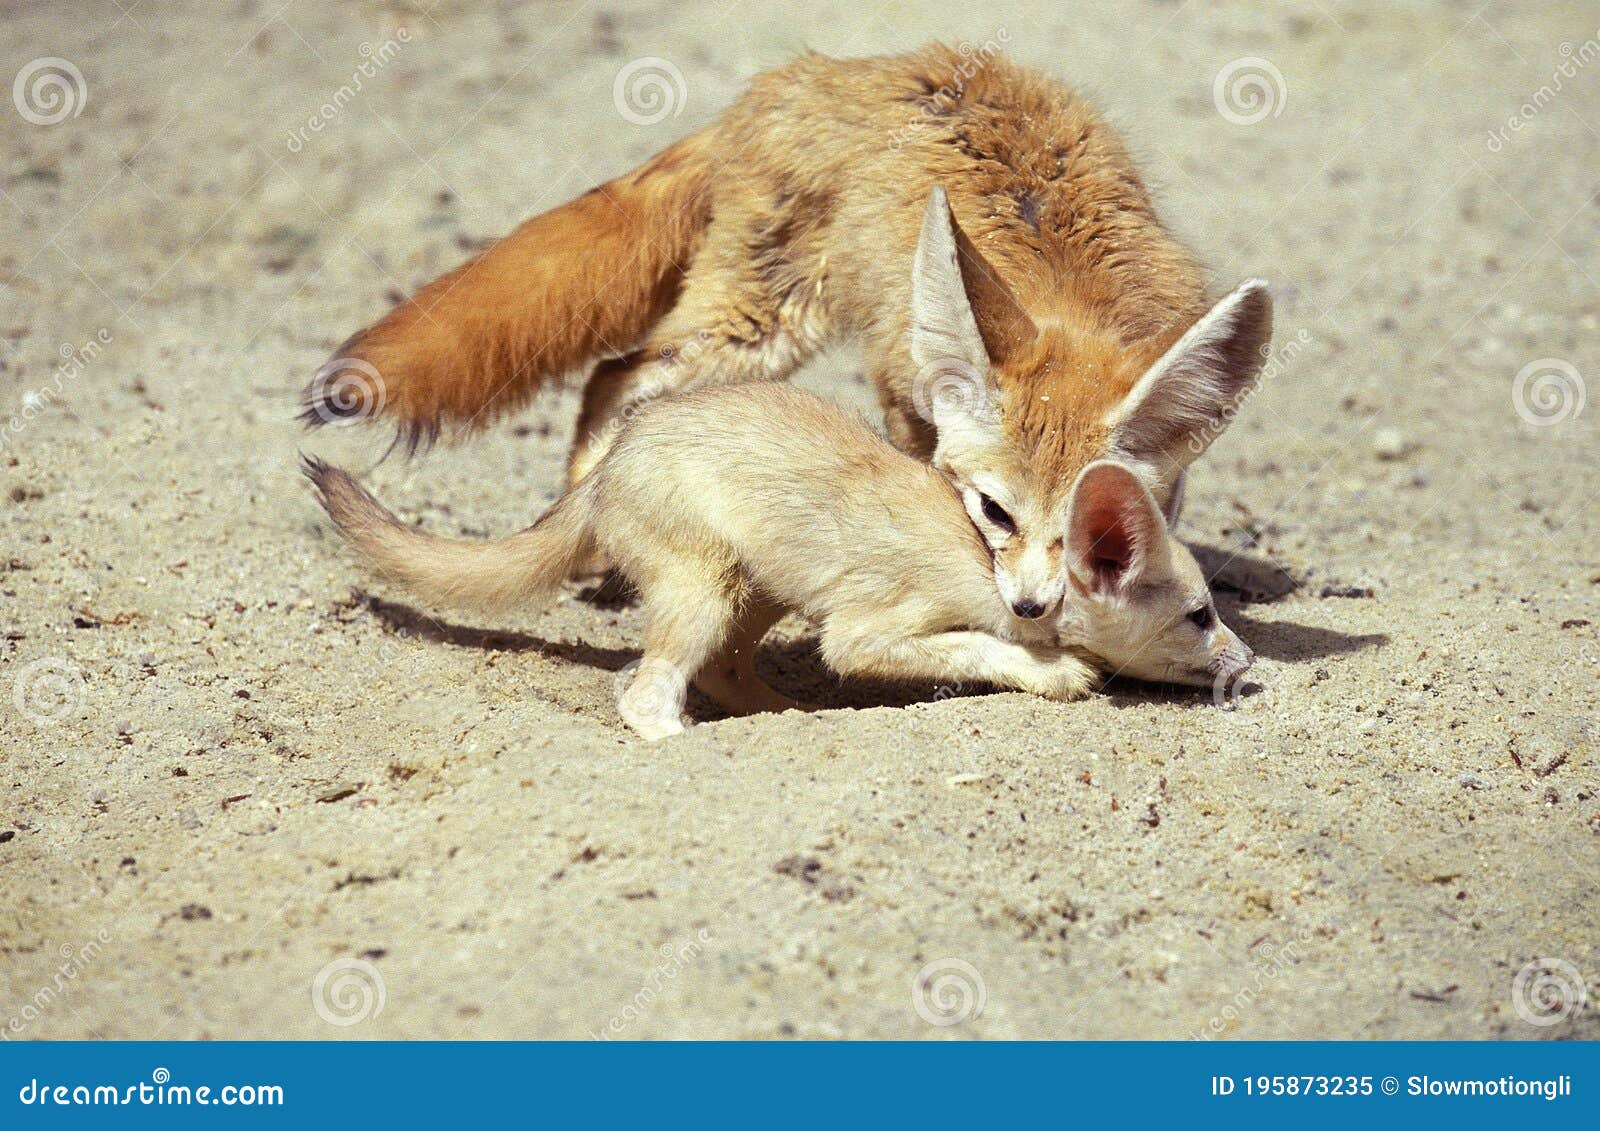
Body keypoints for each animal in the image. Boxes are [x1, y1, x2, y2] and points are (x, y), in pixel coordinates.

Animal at [303, 45, 1274, 622]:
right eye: (995, 511)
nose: (1034, 610)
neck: (1068, 287)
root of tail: (809, 75)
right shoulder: (902, 386)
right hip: (754, 327)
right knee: (615, 376)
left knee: (611, 375)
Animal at [305, 383, 1254, 741]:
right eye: (1199, 614)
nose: (1246, 665)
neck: (1008, 574)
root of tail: (610, 462)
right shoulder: (868, 630)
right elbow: (982, 647)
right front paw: (1056, 671)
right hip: (703, 585)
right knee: (641, 691)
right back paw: (684, 738)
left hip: (755, 588)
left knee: (722, 672)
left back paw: (787, 715)